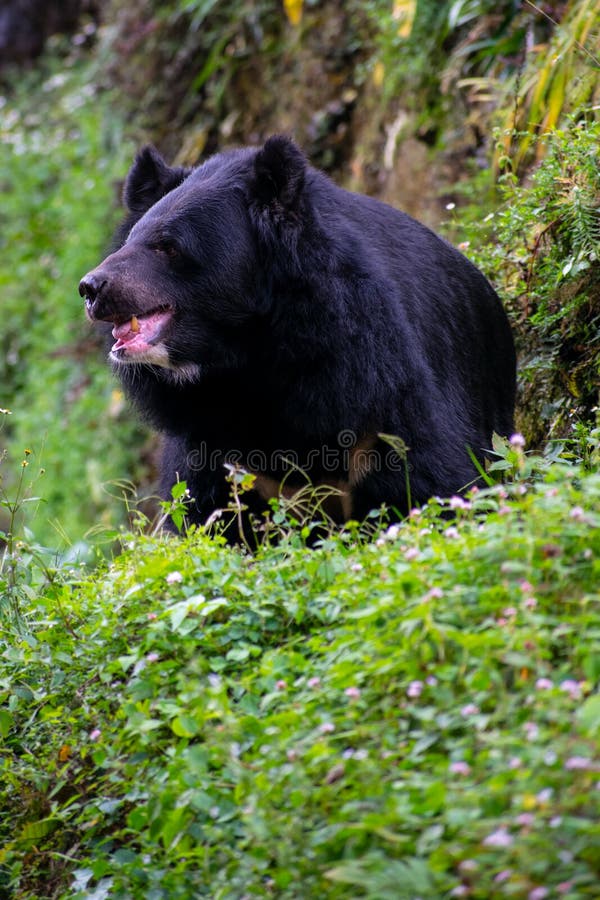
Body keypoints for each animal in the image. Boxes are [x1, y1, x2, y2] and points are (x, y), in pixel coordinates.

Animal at [79, 135, 516, 540]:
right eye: (131, 239)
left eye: (168, 246)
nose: (91, 288)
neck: (244, 360)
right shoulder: (204, 438)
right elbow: (204, 510)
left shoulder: (375, 380)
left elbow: (426, 476)